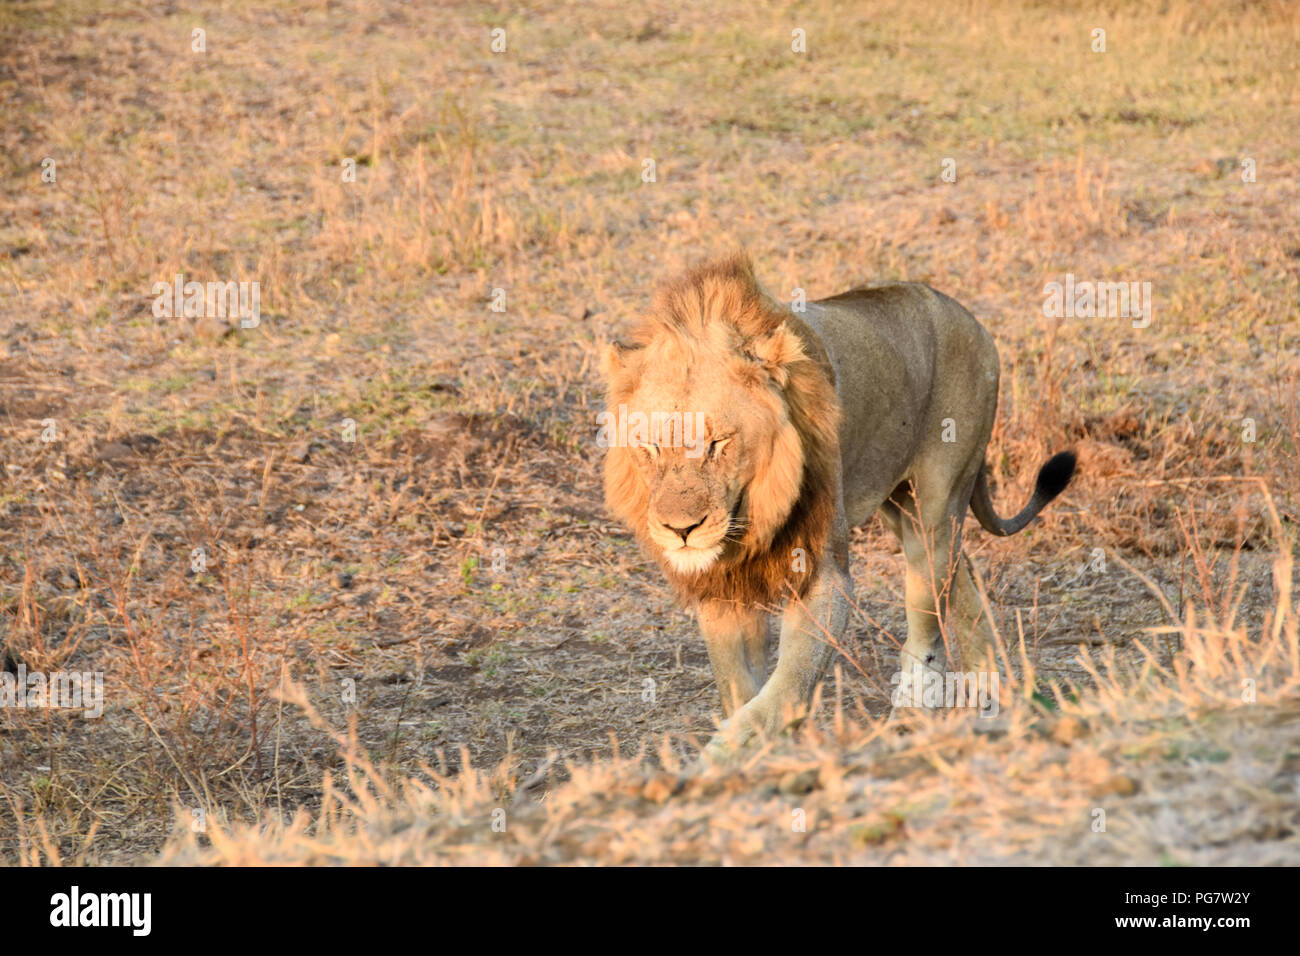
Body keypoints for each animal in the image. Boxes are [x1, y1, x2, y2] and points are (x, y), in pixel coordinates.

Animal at [602, 254, 1075, 756]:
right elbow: (738, 683)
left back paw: (914, 716)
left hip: (936, 505)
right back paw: (996, 704)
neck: (752, 513)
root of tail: (970, 318)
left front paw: (737, 744)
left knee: (929, 616)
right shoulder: (722, 587)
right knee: (963, 588)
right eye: (651, 446)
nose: (681, 530)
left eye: (719, 442)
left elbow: (790, 681)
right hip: (902, 507)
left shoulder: (823, 573)